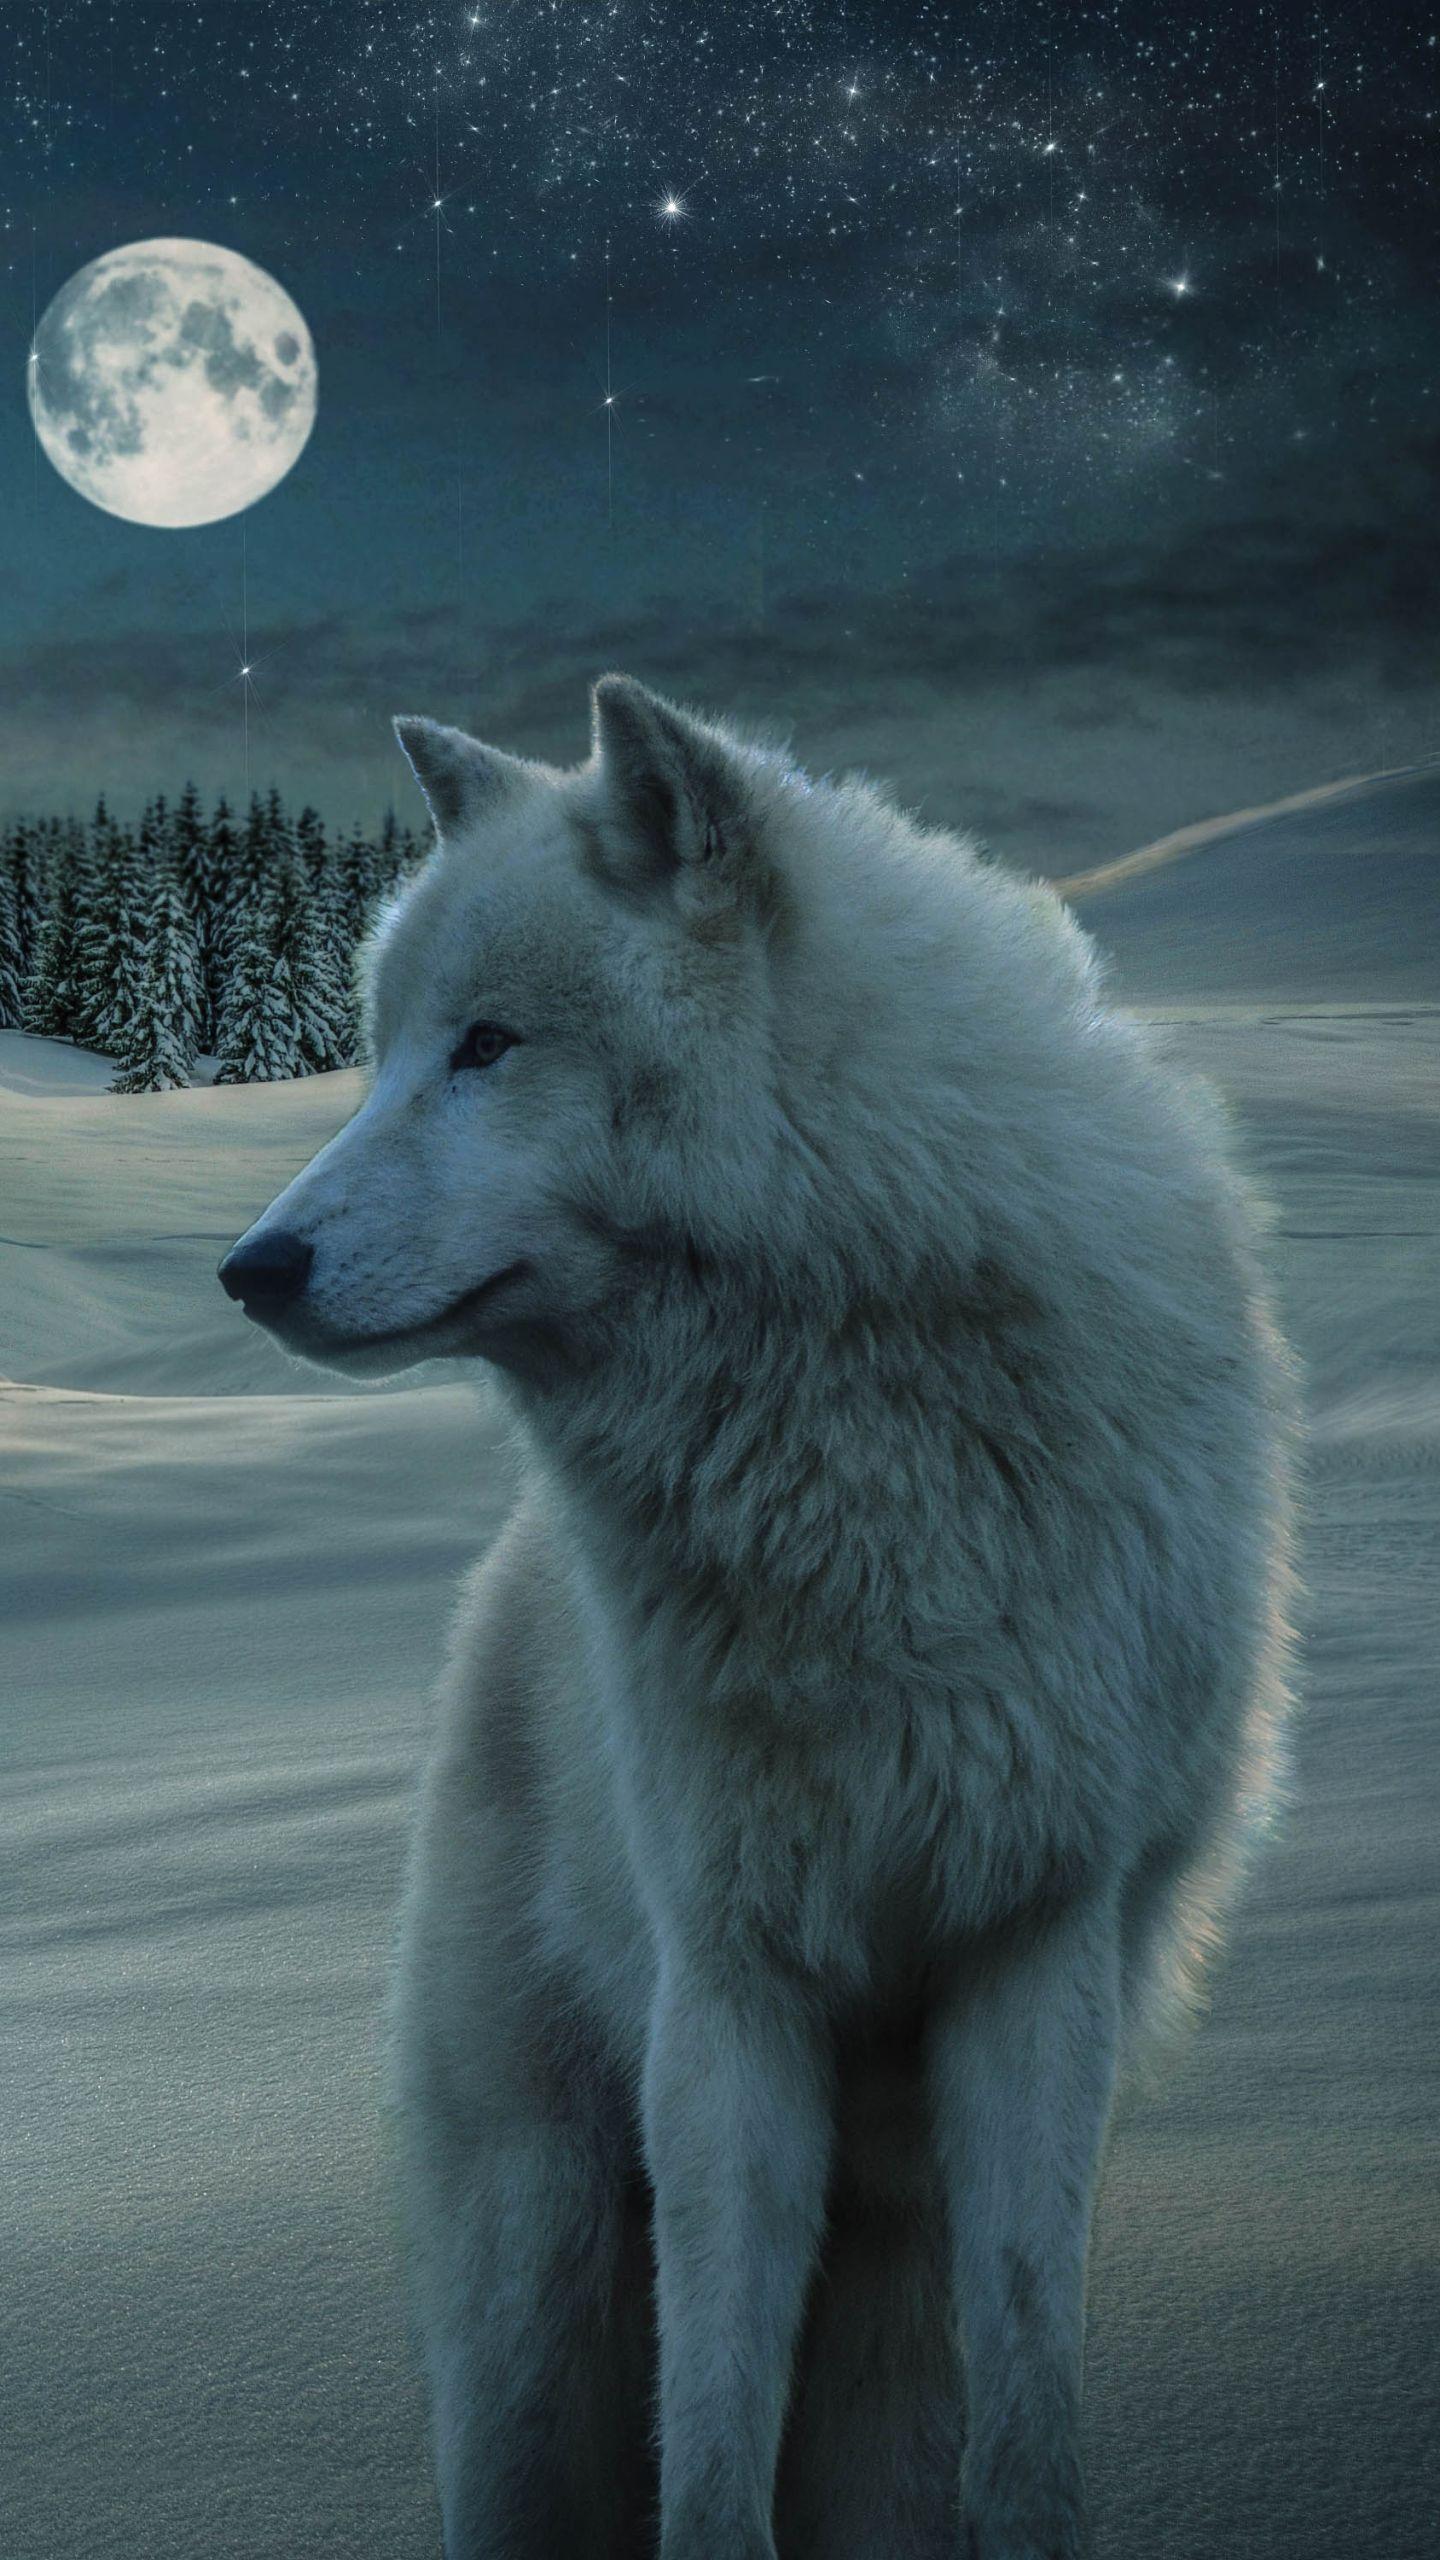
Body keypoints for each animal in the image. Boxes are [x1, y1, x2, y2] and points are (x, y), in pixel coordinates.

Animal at [219, 677, 1297, 2560]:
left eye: (489, 1045)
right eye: (386, 1046)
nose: (251, 1268)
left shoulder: (1039, 1944)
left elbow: (1029, 2403)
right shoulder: (728, 1988)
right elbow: (713, 2439)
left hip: (887, 2282)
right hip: (536, 2271)